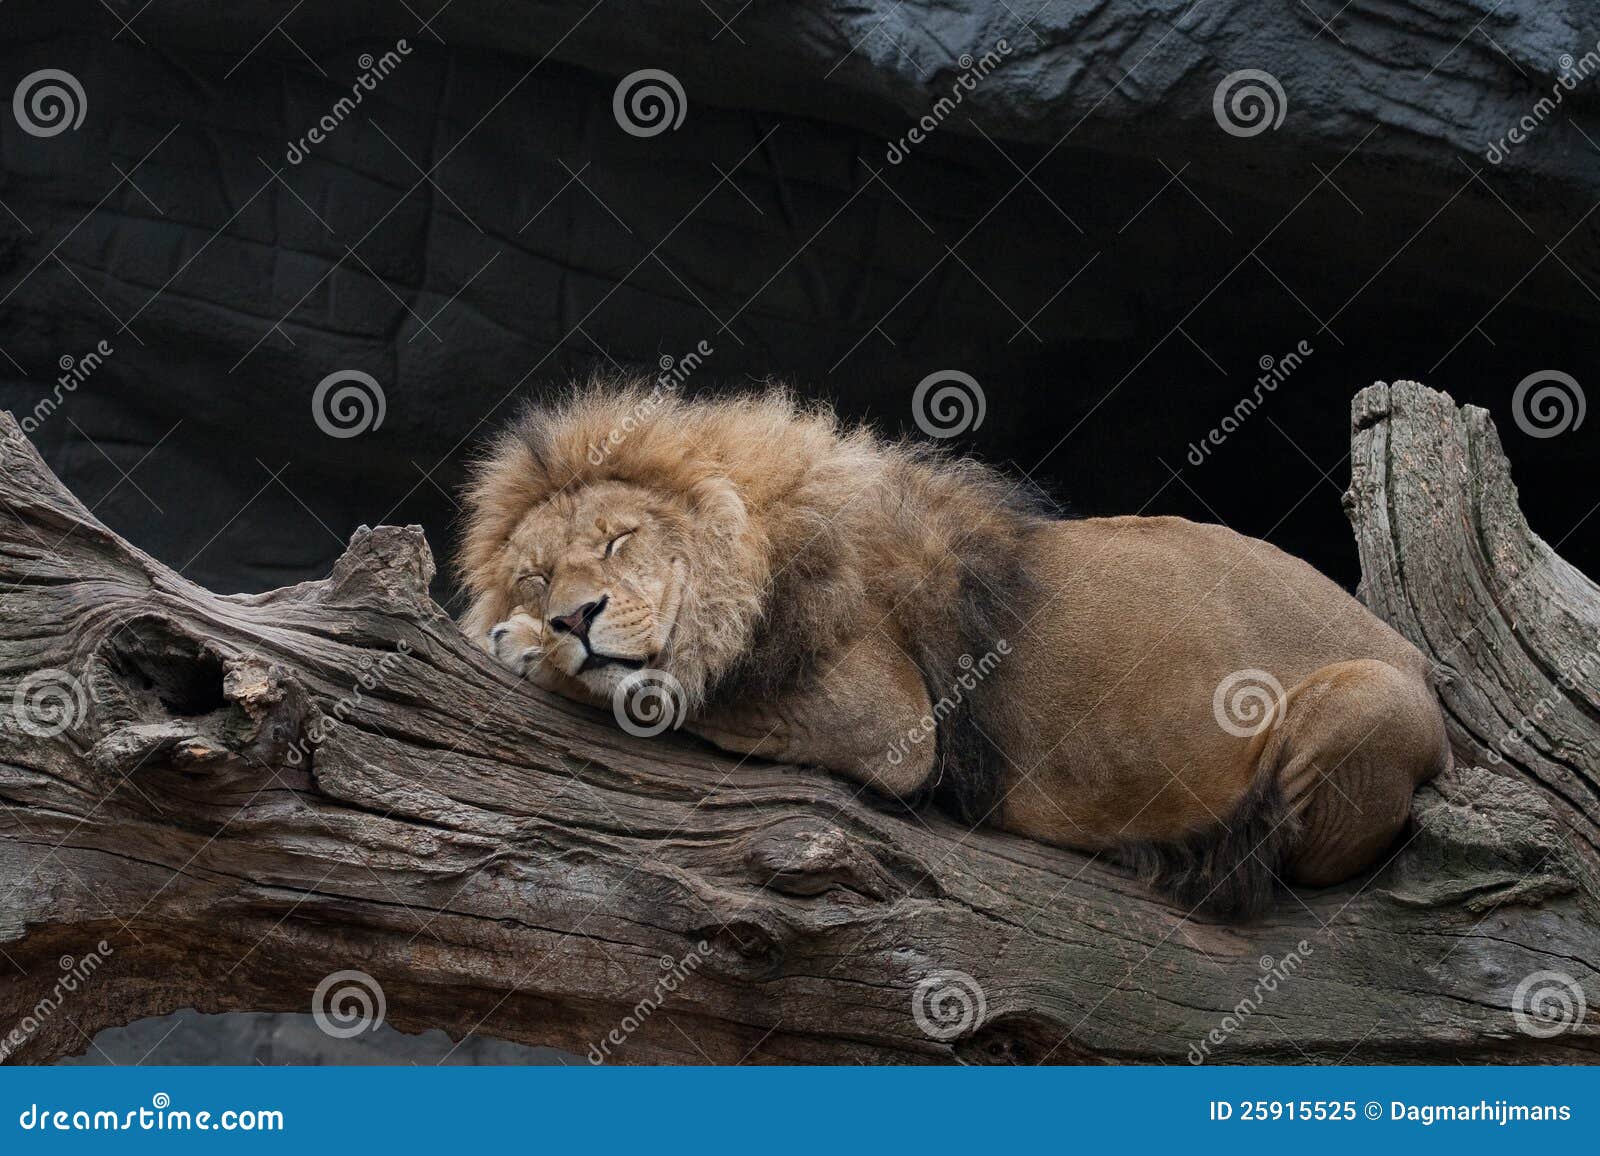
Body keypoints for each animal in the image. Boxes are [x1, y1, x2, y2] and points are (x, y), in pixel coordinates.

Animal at [458, 381, 1450, 919]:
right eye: (537, 575)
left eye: (620, 540)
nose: (573, 618)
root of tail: (1417, 662)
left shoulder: (888, 721)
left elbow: (683, 694)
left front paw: (519, 647)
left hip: (1361, 698)